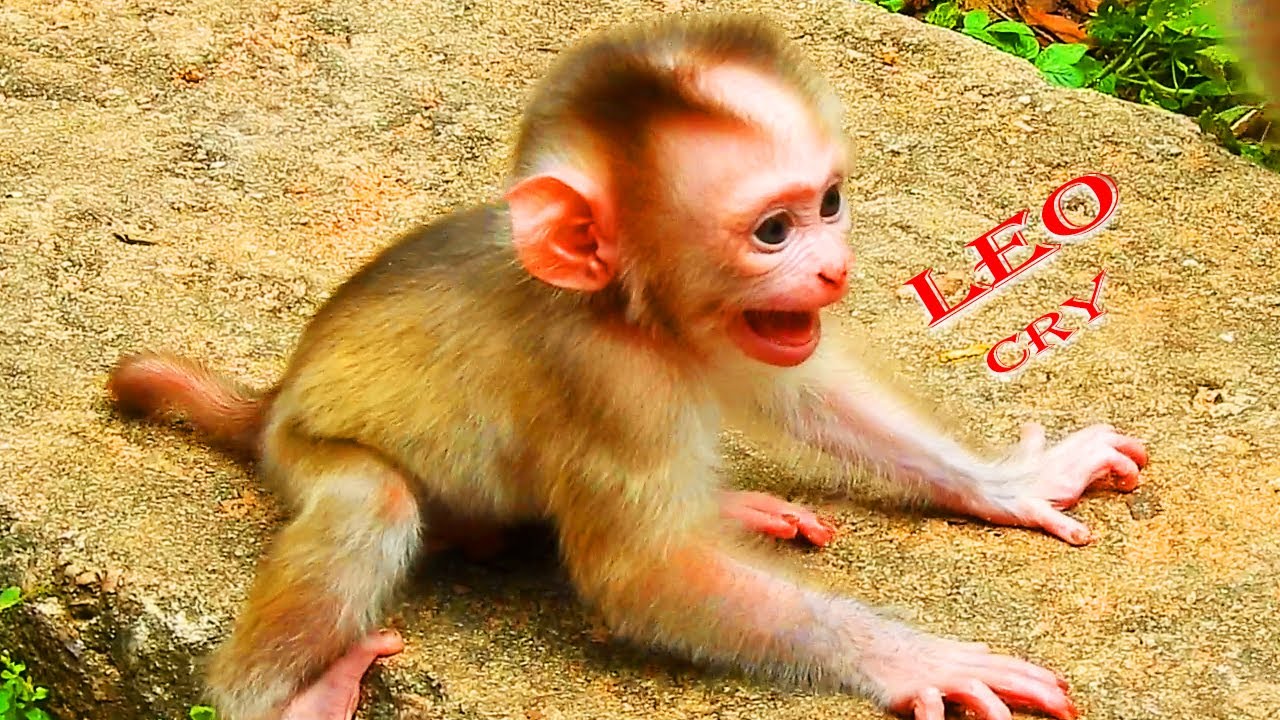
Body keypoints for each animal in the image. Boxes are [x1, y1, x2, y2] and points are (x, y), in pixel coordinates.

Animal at [107, 14, 1147, 720]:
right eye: (773, 231)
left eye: (830, 203)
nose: (835, 267)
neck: (632, 310)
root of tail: (275, 397)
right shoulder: (607, 377)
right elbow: (643, 574)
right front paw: (918, 661)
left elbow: (799, 385)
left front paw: (1009, 483)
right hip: (306, 453)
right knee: (375, 503)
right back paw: (280, 695)